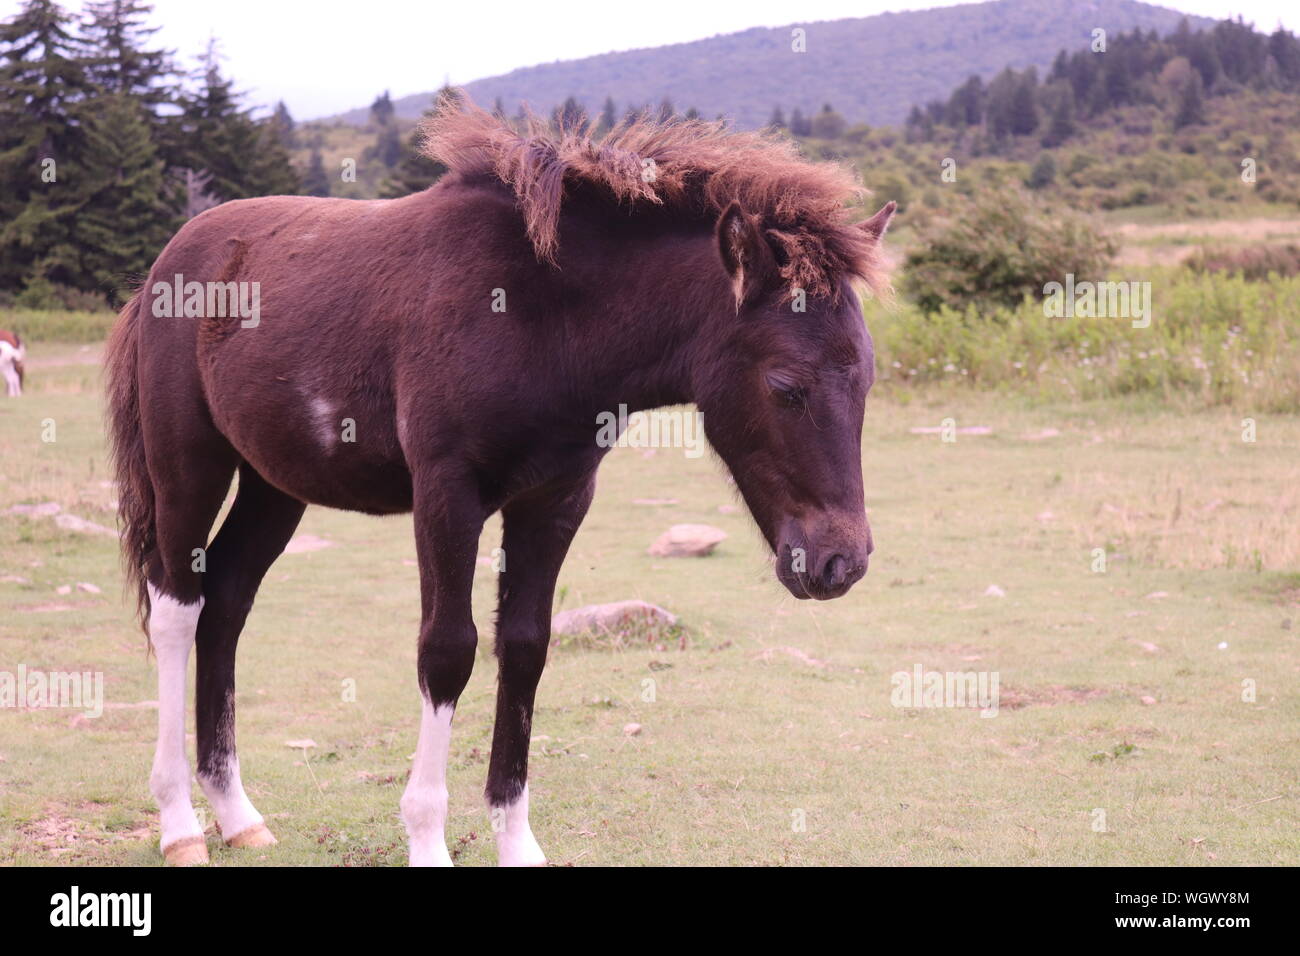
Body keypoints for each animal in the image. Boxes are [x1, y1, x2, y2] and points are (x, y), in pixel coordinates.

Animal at [104, 98, 895, 866]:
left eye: (867, 379)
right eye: (786, 387)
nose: (841, 562)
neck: (540, 312)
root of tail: (163, 267)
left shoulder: (556, 500)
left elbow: (525, 648)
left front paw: (517, 843)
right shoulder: (447, 495)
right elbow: (447, 651)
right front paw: (426, 840)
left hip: (276, 484)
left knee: (227, 600)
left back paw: (238, 816)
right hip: (188, 468)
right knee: (177, 607)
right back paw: (181, 825)